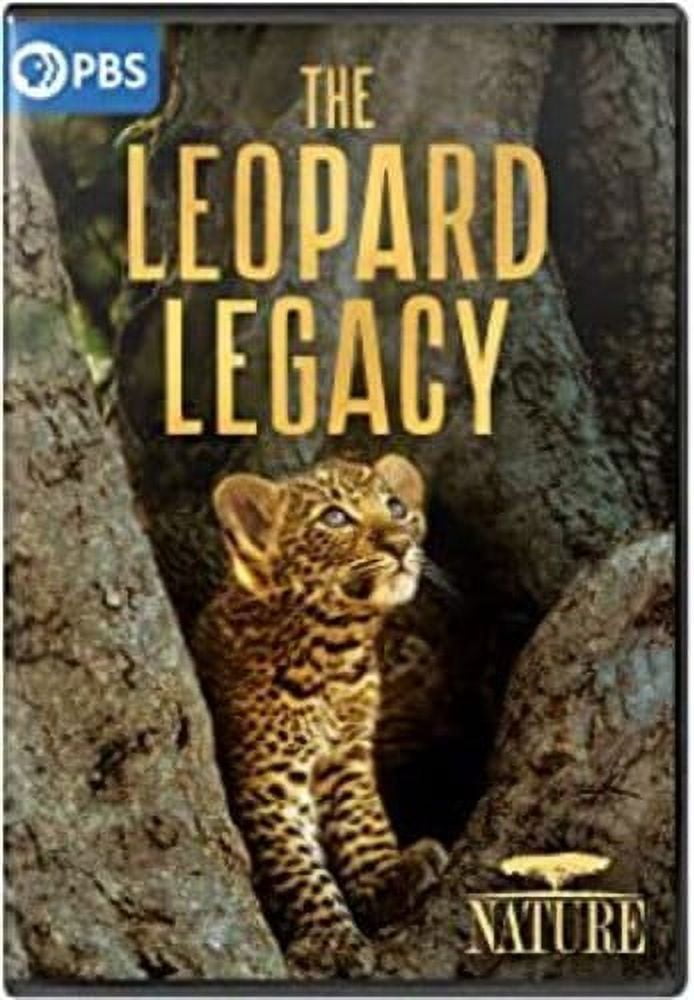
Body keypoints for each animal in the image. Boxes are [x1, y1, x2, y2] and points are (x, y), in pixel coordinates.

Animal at [192, 453, 448, 978]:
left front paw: (388, 877)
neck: (335, 653)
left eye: (395, 507)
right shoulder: (265, 777)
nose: (399, 543)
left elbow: (362, 821)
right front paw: (330, 939)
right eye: (334, 518)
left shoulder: (346, 756)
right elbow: (293, 864)